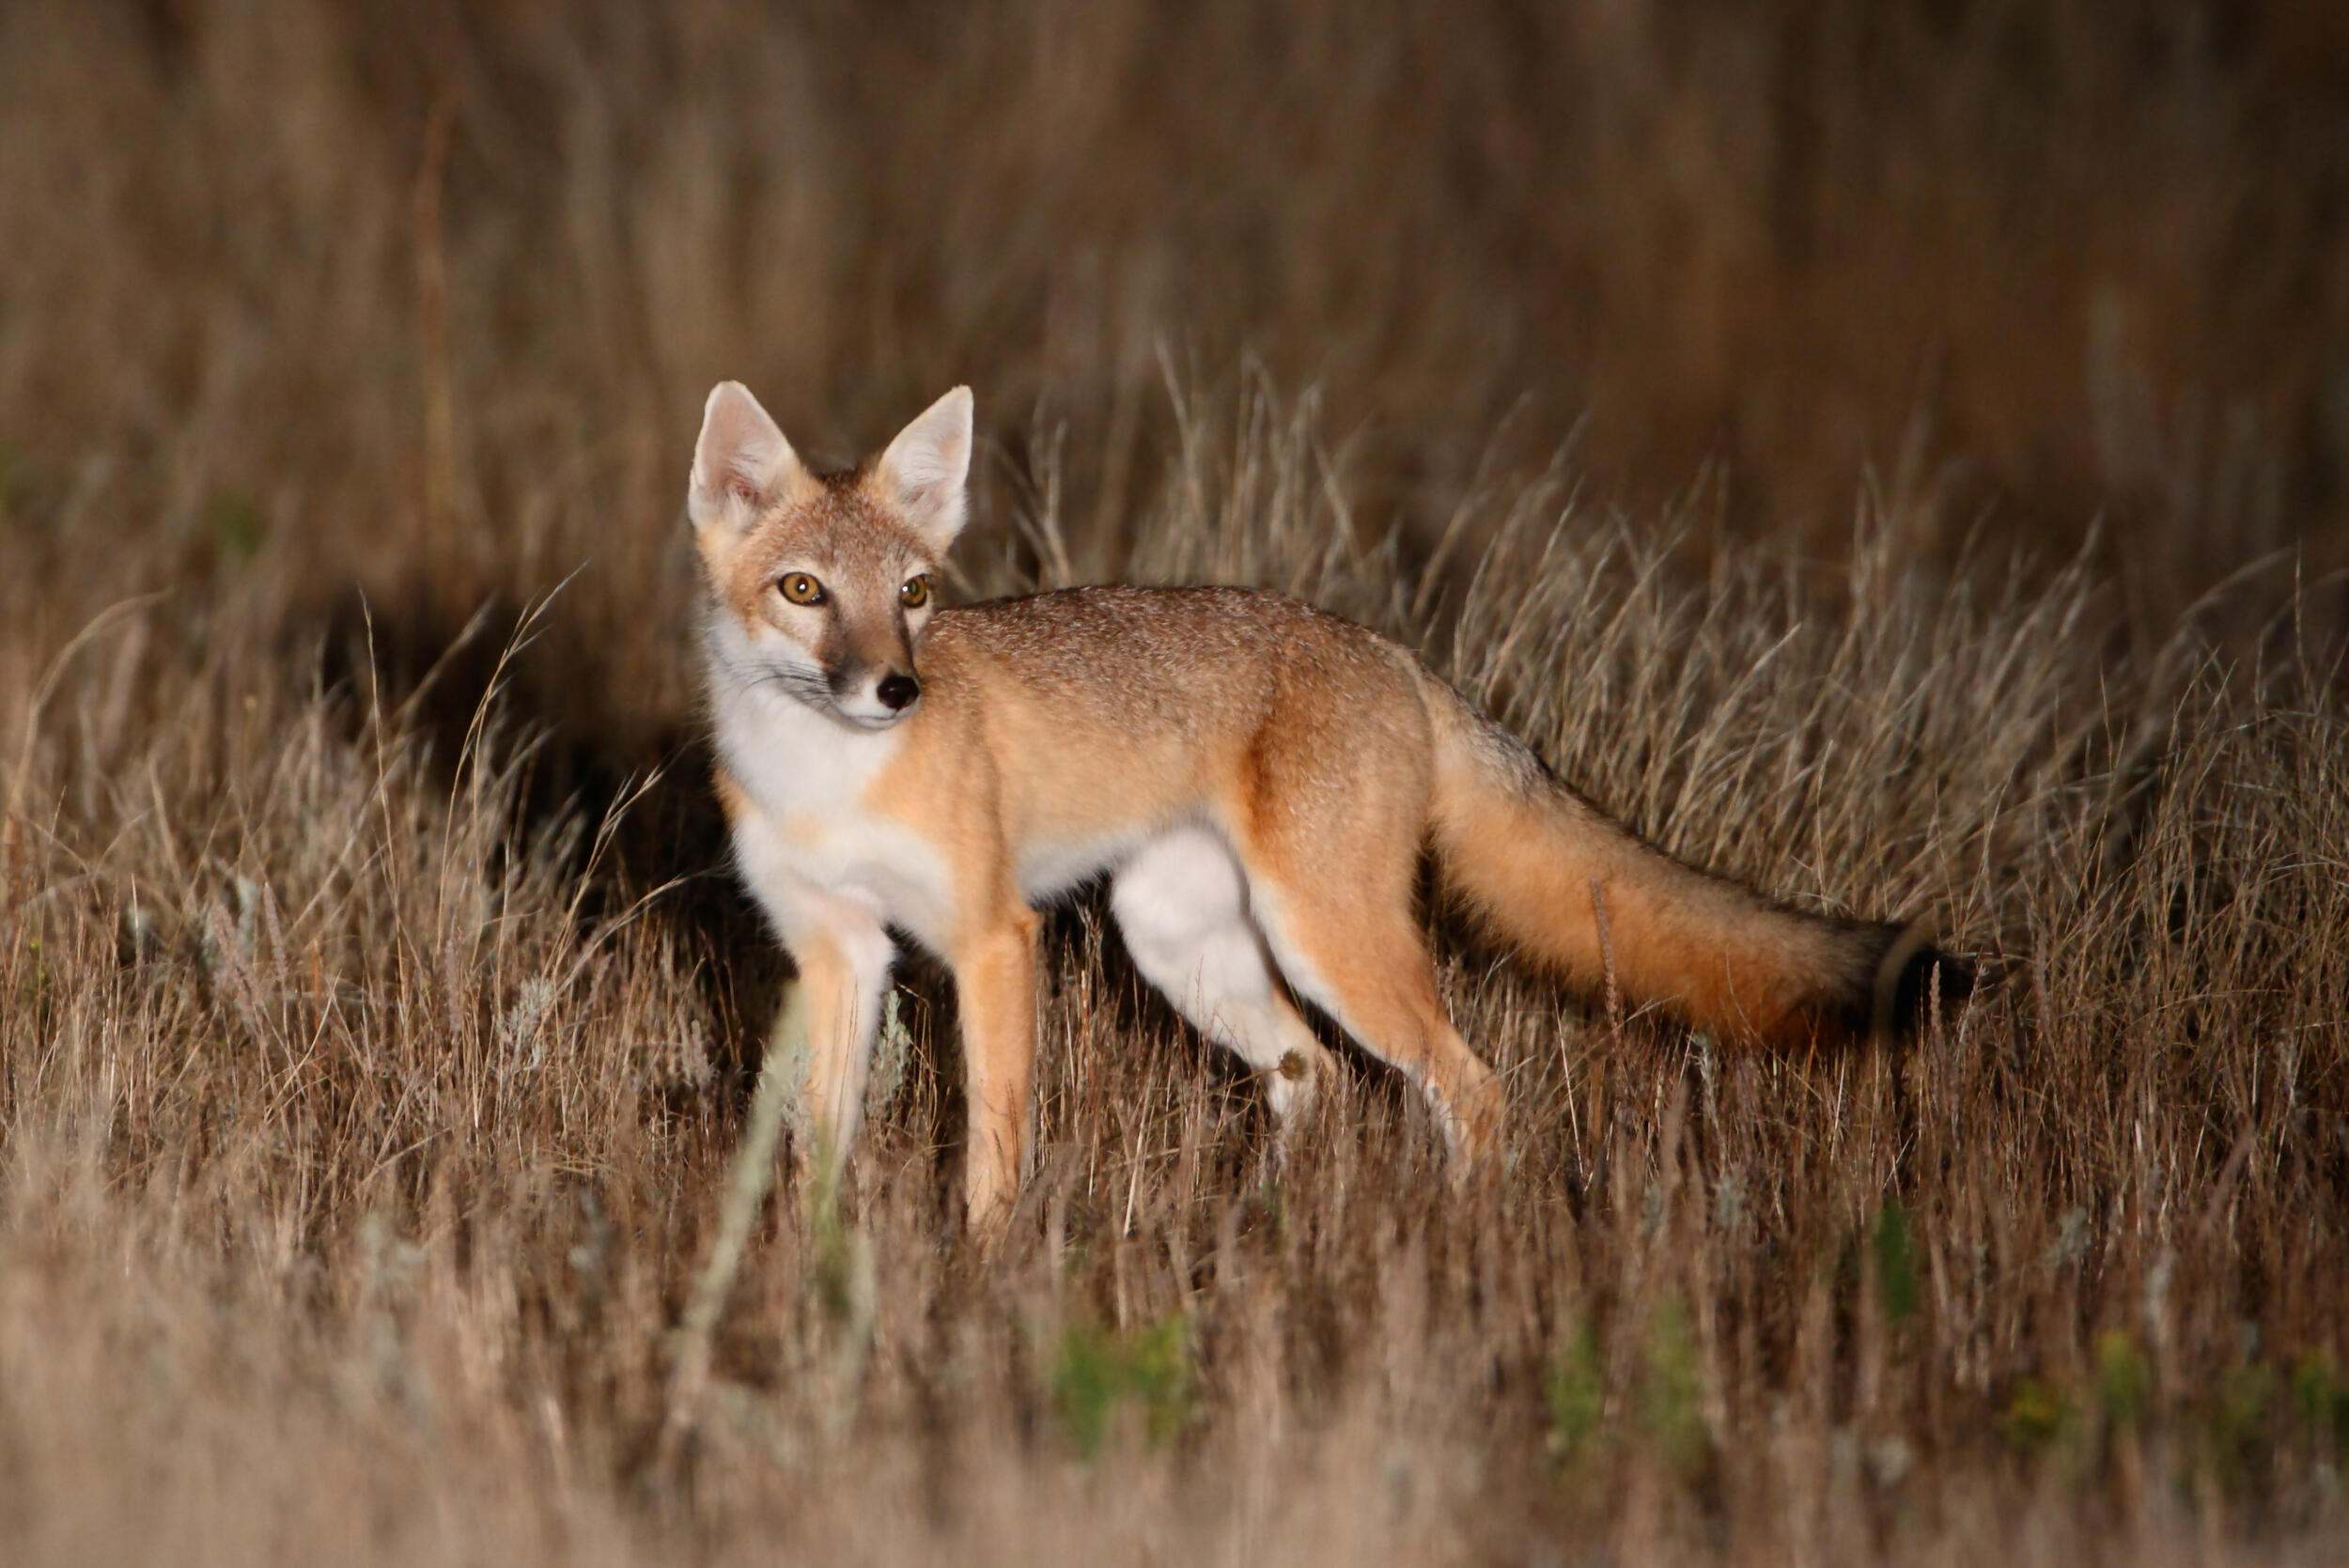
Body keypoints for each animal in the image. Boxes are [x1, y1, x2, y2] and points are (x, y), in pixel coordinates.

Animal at [688, 381, 1972, 1229]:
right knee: (1318, 1081)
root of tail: (1391, 651)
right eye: (804, 591)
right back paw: (1265, 1238)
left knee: (1469, 1087)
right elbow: (818, 1143)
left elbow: (994, 1147)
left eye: (912, 595)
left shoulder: (993, 937)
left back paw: (1455, 1246)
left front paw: (982, 1276)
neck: (823, 783)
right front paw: (812, 1275)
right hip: (1184, 944)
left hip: (1325, 940)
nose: (896, 689)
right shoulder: (838, 951)